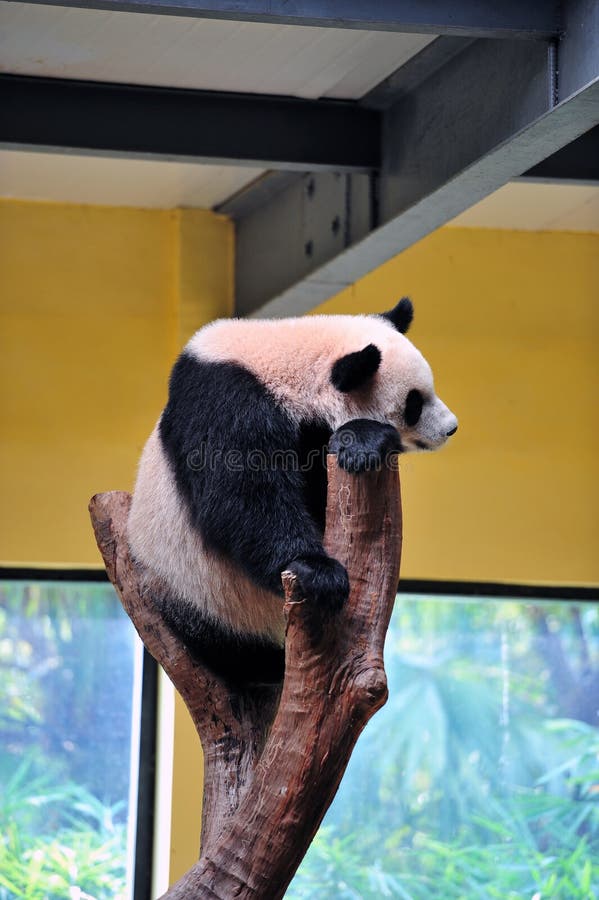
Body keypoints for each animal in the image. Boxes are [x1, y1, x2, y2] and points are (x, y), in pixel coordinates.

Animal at [127, 298, 457, 685]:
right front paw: (320, 573)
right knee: (234, 648)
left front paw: (361, 444)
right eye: (414, 404)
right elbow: (241, 496)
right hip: (198, 593)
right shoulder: (225, 399)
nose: (451, 428)